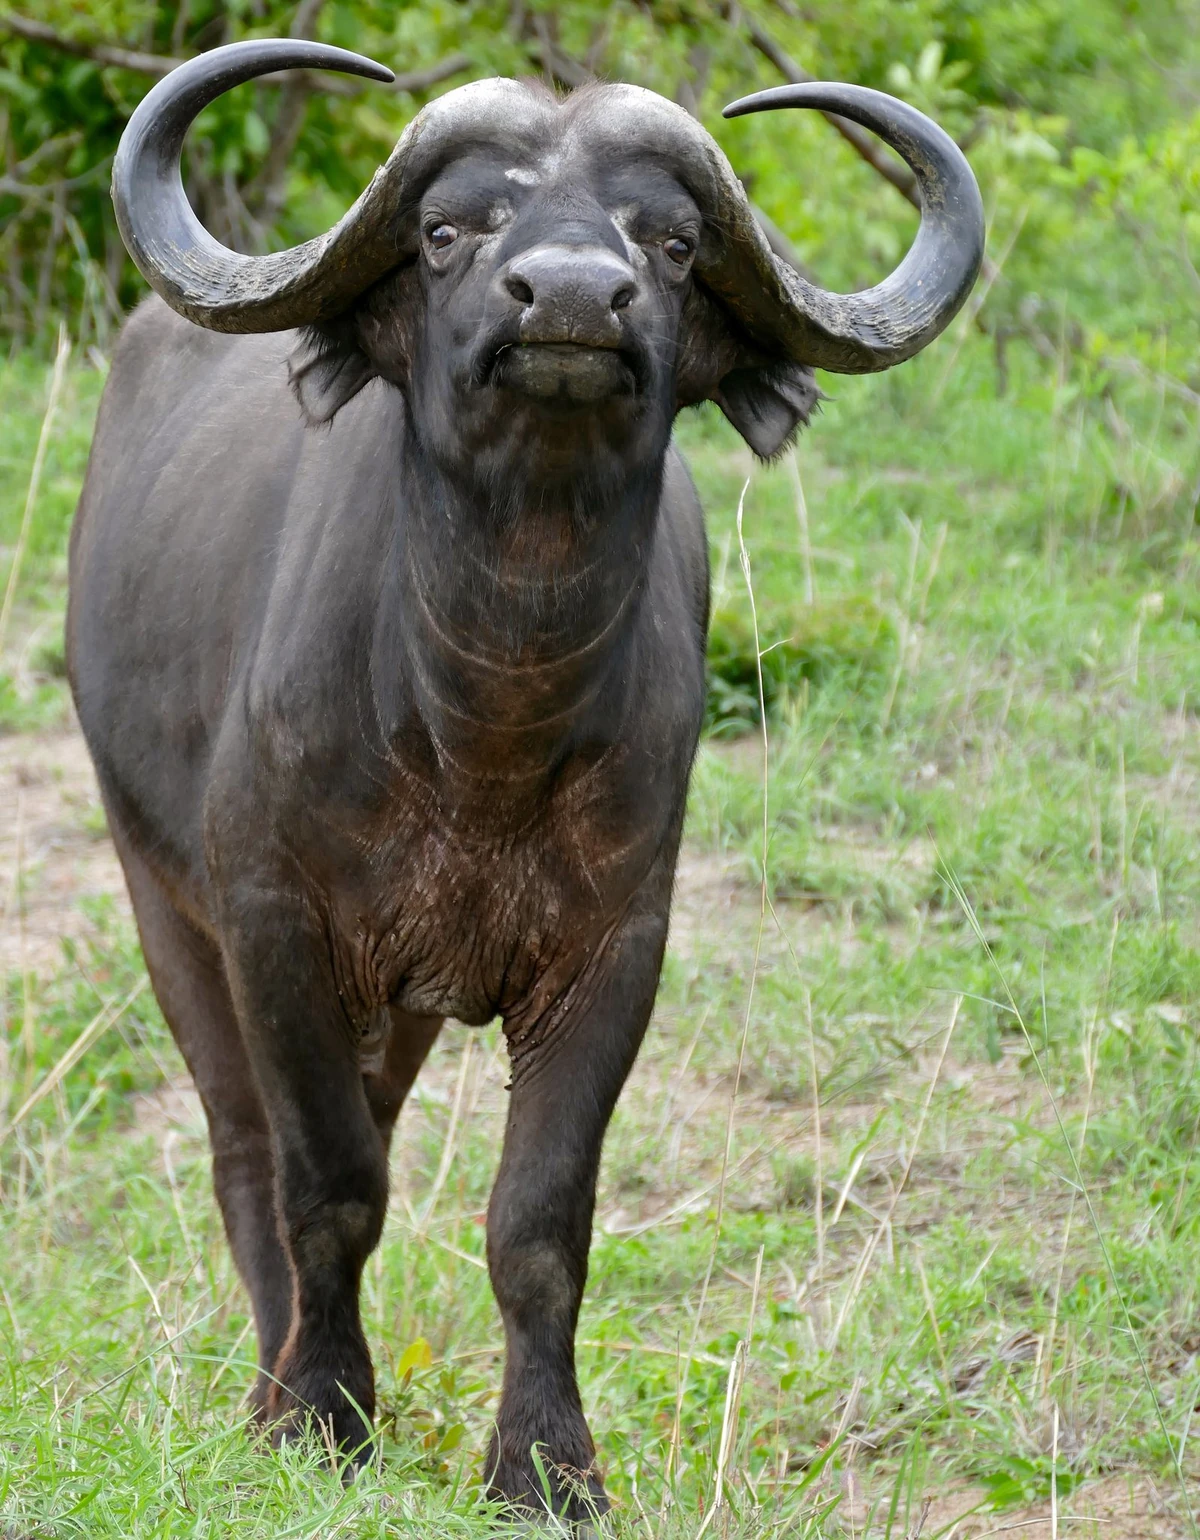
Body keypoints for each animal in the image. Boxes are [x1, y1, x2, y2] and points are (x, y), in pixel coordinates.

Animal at [67, 39, 982, 1526]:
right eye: (451, 230)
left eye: (670, 243)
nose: (566, 299)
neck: (478, 729)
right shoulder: (274, 927)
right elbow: (325, 1188)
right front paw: (322, 1422)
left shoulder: (612, 951)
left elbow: (539, 1221)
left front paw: (548, 1466)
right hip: (162, 899)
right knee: (246, 1152)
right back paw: (268, 1384)